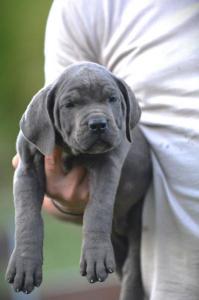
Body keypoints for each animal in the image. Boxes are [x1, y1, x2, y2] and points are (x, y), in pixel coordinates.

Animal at [5, 62, 151, 298]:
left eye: (112, 99)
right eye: (70, 105)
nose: (98, 124)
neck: (70, 151)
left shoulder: (108, 165)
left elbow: (97, 210)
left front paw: (95, 257)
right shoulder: (26, 168)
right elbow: (27, 217)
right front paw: (24, 264)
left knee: (133, 275)